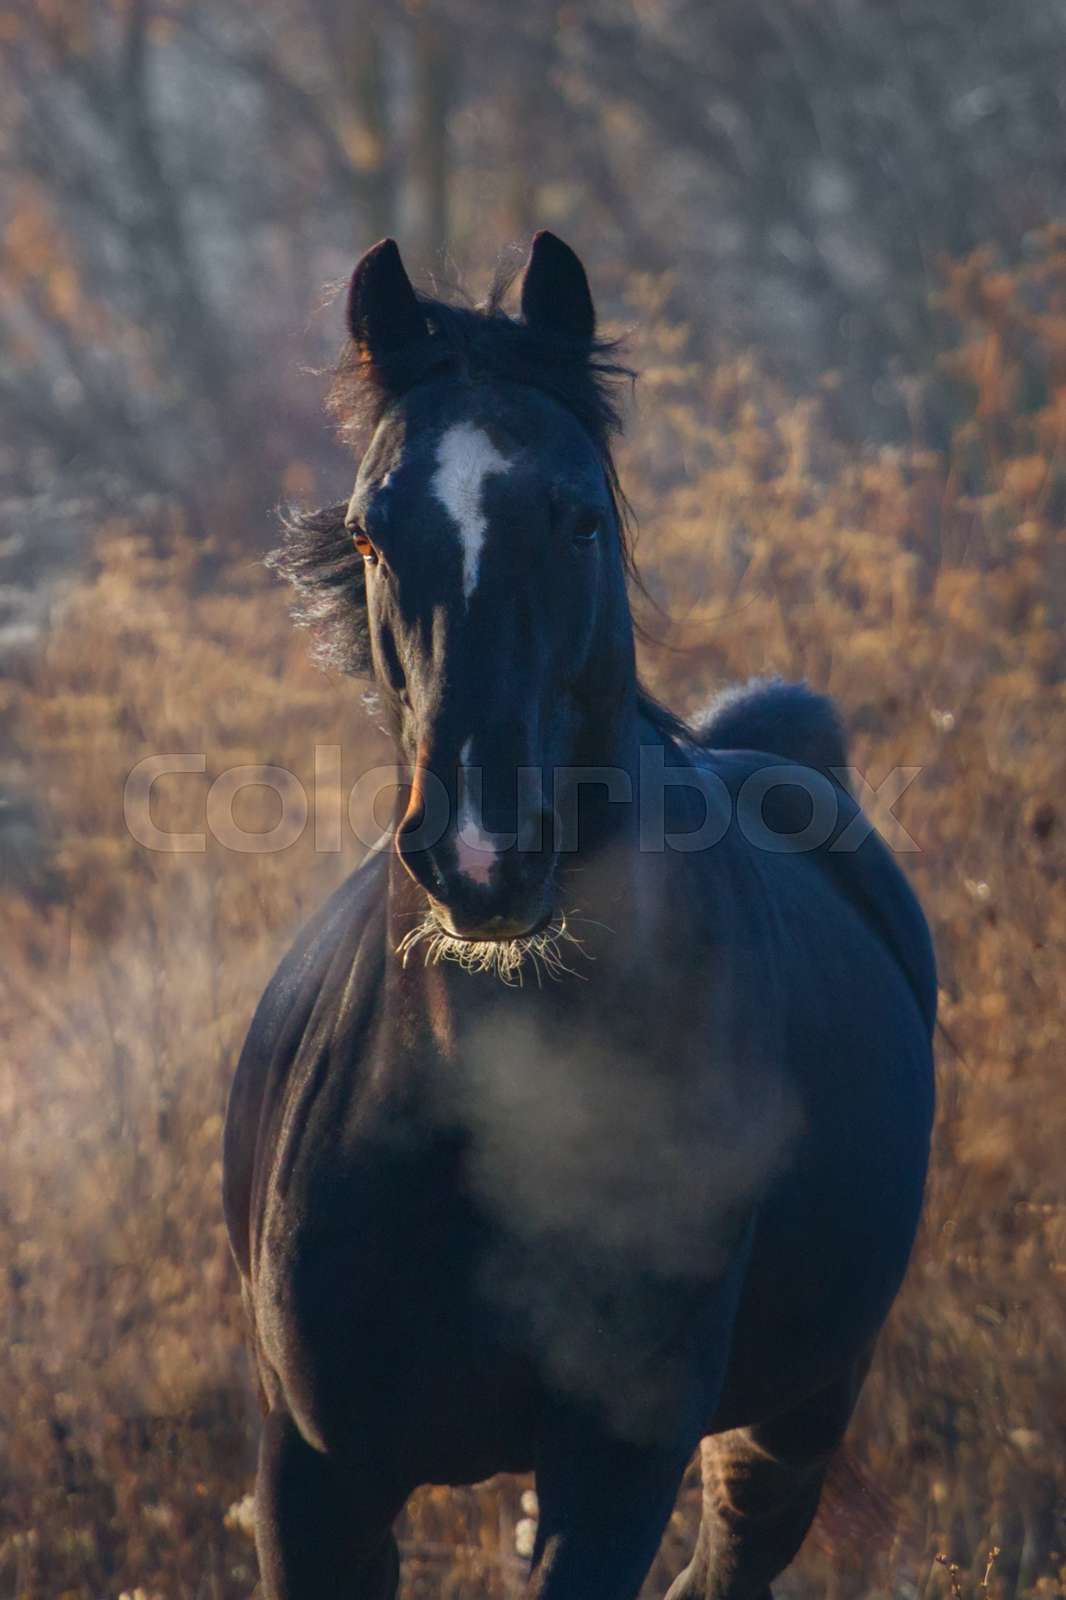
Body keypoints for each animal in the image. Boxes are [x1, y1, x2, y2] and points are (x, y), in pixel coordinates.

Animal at [222, 231, 936, 1600]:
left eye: (580, 515)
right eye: (373, 534)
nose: (482, 853)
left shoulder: (616, 1459)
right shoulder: (314, 1471)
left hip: (793, 1421)